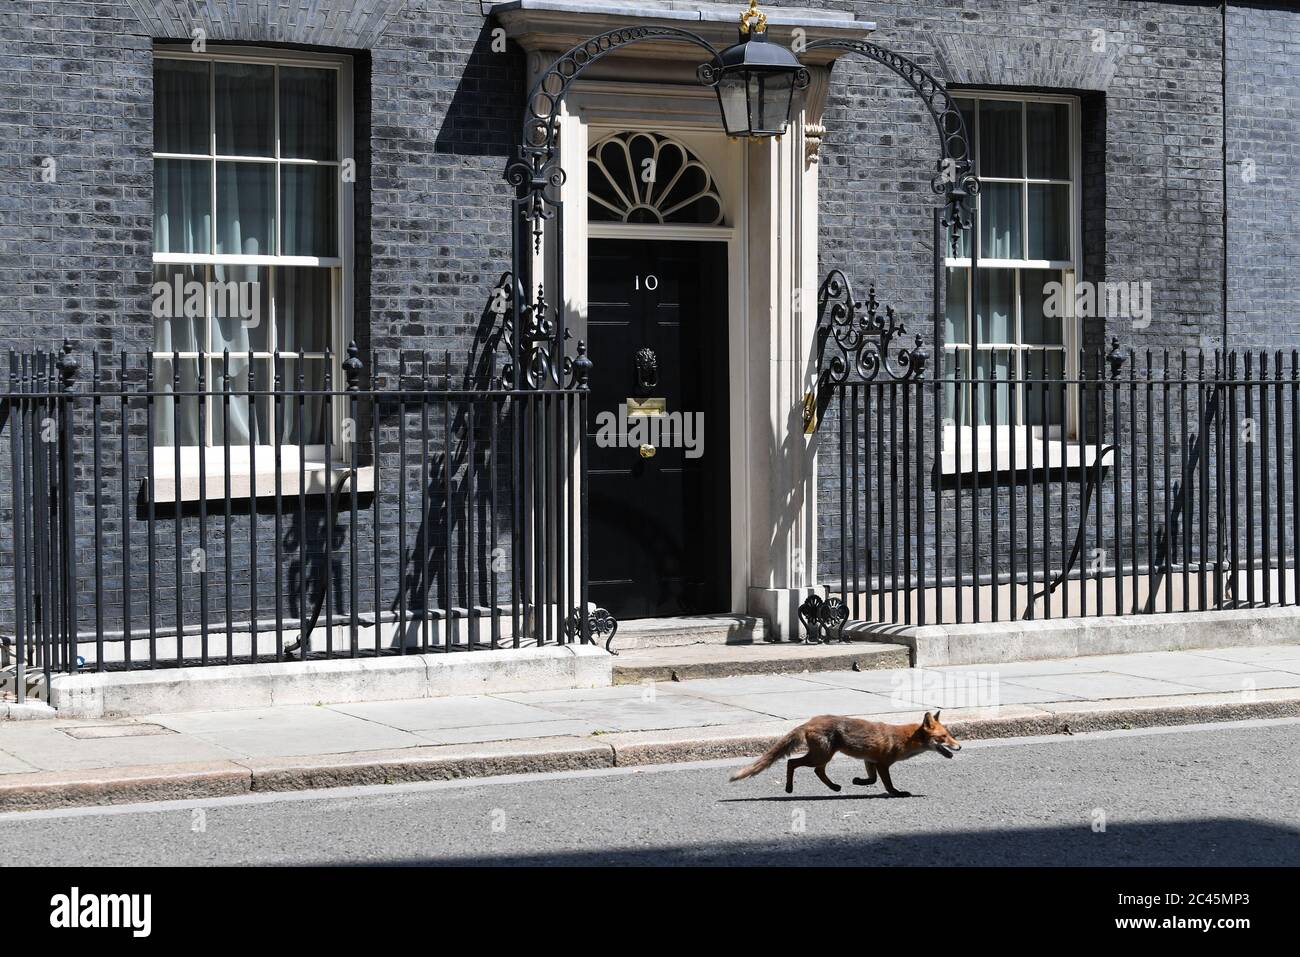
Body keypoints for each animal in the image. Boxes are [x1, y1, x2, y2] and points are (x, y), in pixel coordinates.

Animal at [729, 711, 961, 796]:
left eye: (950, 735)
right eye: (943, 737)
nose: (959, 747)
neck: (904, 739)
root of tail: (810, 721)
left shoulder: (870, 761)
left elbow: (871, 779)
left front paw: (858, 782)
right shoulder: (883, 763)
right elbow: (887, 784)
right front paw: (896, 793)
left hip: (823, 756)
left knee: (817, 771)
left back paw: (834, 787)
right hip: (821, 755)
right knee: (792, 763)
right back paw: (789, 788)